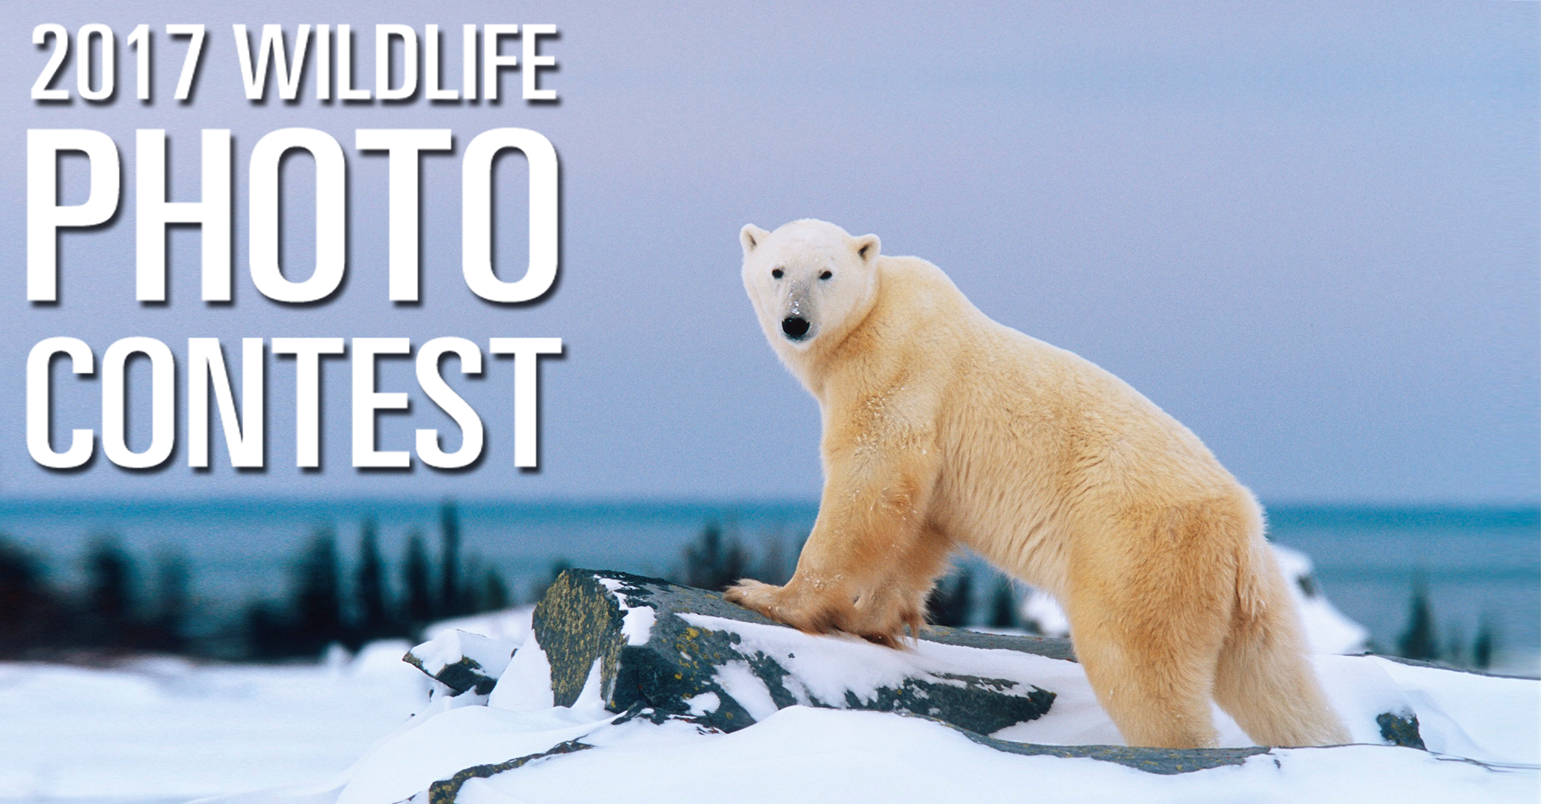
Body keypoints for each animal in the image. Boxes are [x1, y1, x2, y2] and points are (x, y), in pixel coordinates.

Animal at [723, 219, 1349, 749]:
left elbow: (872, 481)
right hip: (1252, 591)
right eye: (777, 270)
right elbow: (921, 525)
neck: (875, 312)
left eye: (825, 273)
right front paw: (874, 620)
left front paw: (768, 595)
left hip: (1139, 552)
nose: (796, 321)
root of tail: (1239, 523)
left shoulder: (897, 369)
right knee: (1276, 681)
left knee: (1138, 667)